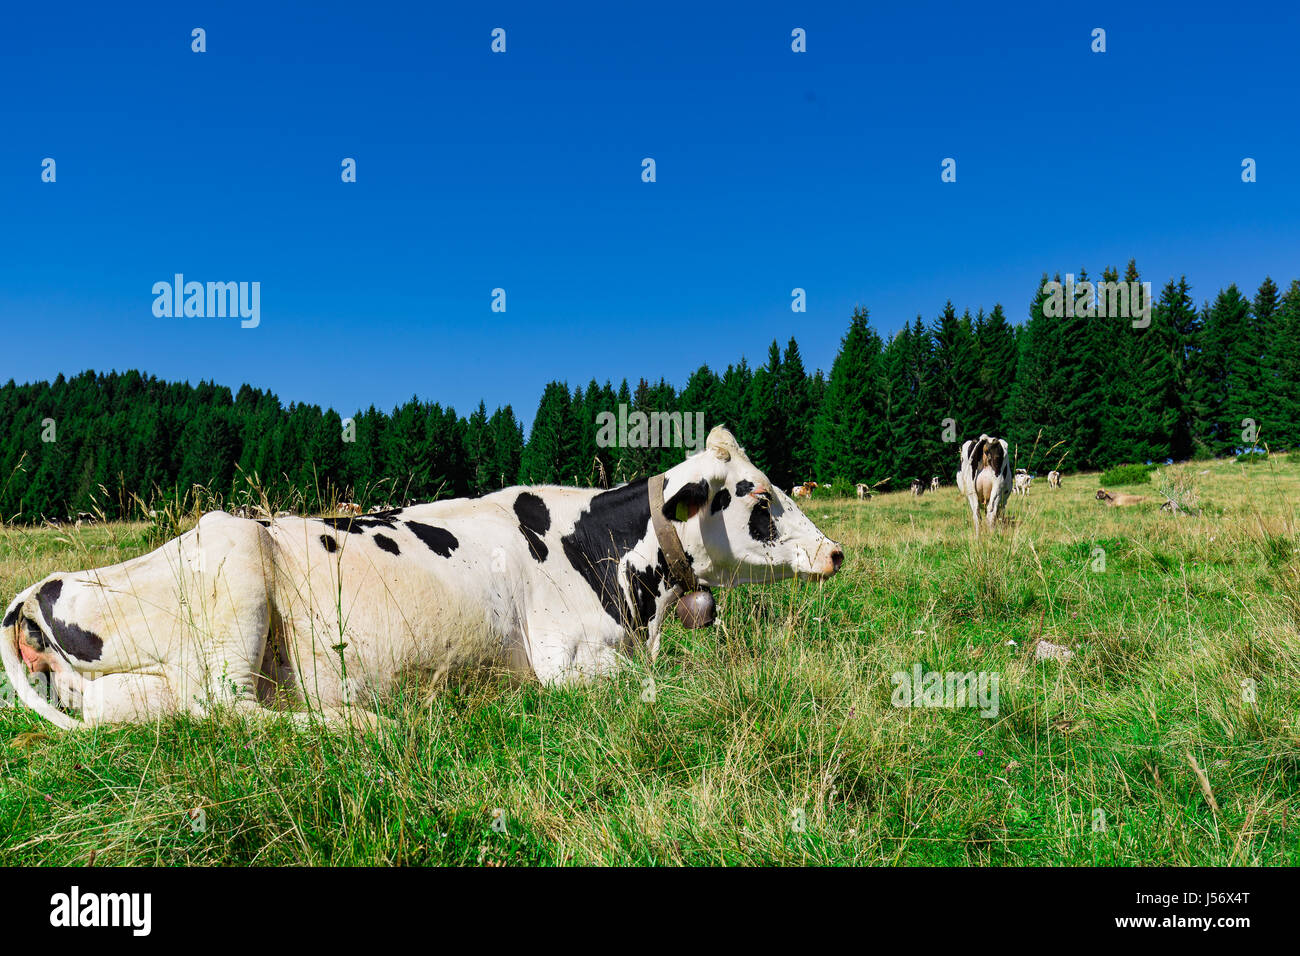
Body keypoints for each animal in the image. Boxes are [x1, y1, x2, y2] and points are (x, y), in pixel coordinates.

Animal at [3, 427, 842, 731]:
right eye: (757, 497)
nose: (835, 553)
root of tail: (44, 584)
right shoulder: (568, 661)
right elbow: (660, 686)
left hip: (139, 685)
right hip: (237, 566)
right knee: (230, 709)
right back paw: (361, 724)